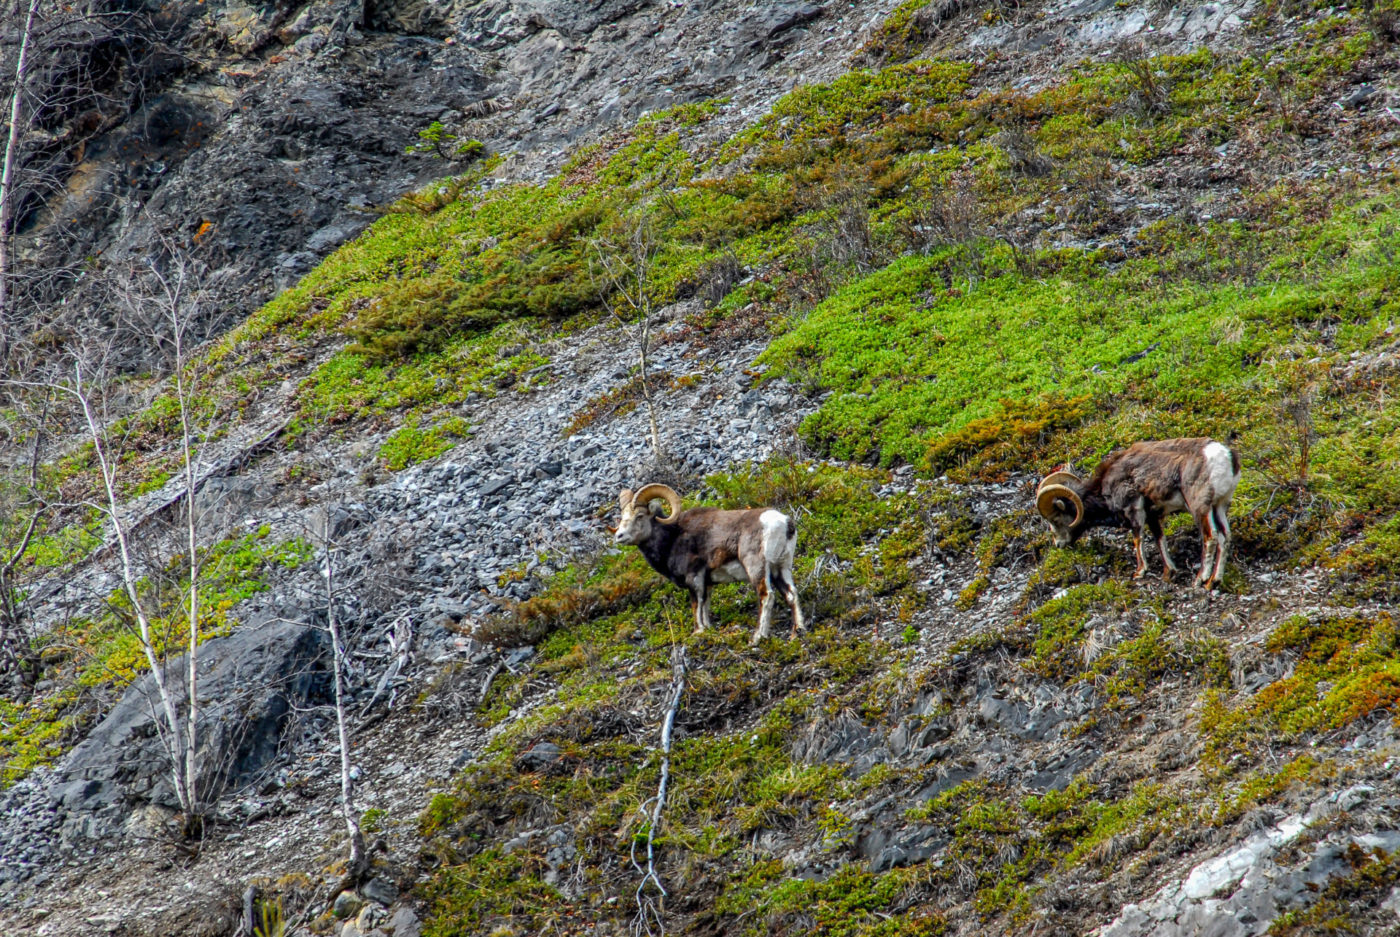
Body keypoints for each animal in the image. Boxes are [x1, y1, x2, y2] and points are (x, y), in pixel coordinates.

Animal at [613, 484, 806, 645]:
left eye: (639, 516)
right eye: (623, 517)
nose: (619, 536)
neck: (673, 537)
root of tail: (784, 523)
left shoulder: (694, 578)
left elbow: (696, 605)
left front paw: (698, 632)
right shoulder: (708, 583)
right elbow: (705, 606)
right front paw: (708, 630)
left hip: (757, 568)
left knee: (766, 596)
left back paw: (757, 638)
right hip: (780, 568)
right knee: (791, 594)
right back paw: (796, 633)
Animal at [1034, 437, 1241, 589]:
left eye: (1055, 518)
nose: (1059, 544)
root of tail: (1225, 457)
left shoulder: (1134, 507)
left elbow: (1137, 538)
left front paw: (1140, 572)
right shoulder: (1154, 515)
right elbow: (1159, 539)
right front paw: (1169, 572)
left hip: (1199, 507)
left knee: (1210, 537)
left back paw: (1199, 580)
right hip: (1219, 506)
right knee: (1225, 537)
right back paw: (1214, 582)